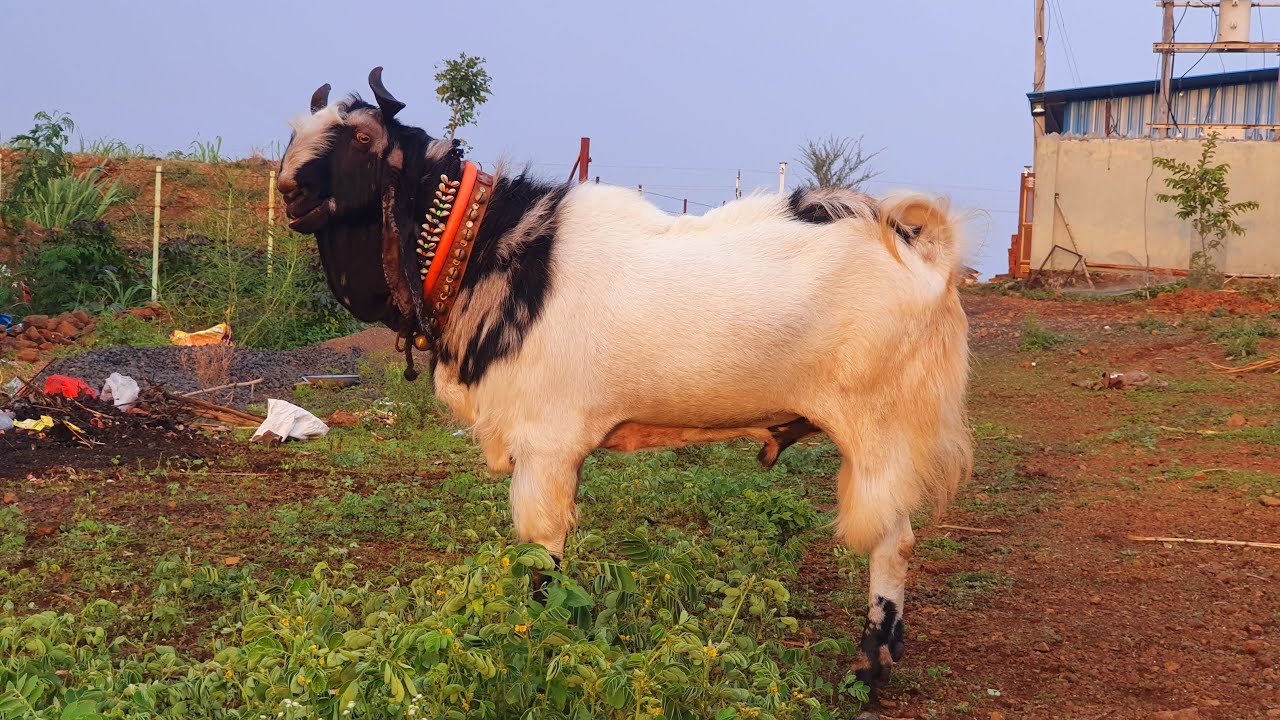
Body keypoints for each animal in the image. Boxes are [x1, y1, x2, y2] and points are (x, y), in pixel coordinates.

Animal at [278, 67, 972, 687]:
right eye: (296, 133)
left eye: (362, 138)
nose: (288, 188)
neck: (492, 247)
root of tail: (922, 250)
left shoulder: (547, 445)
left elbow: (543, 551)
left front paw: (537, 637)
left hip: (881, 428)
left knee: (893, 539)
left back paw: (872, 664)